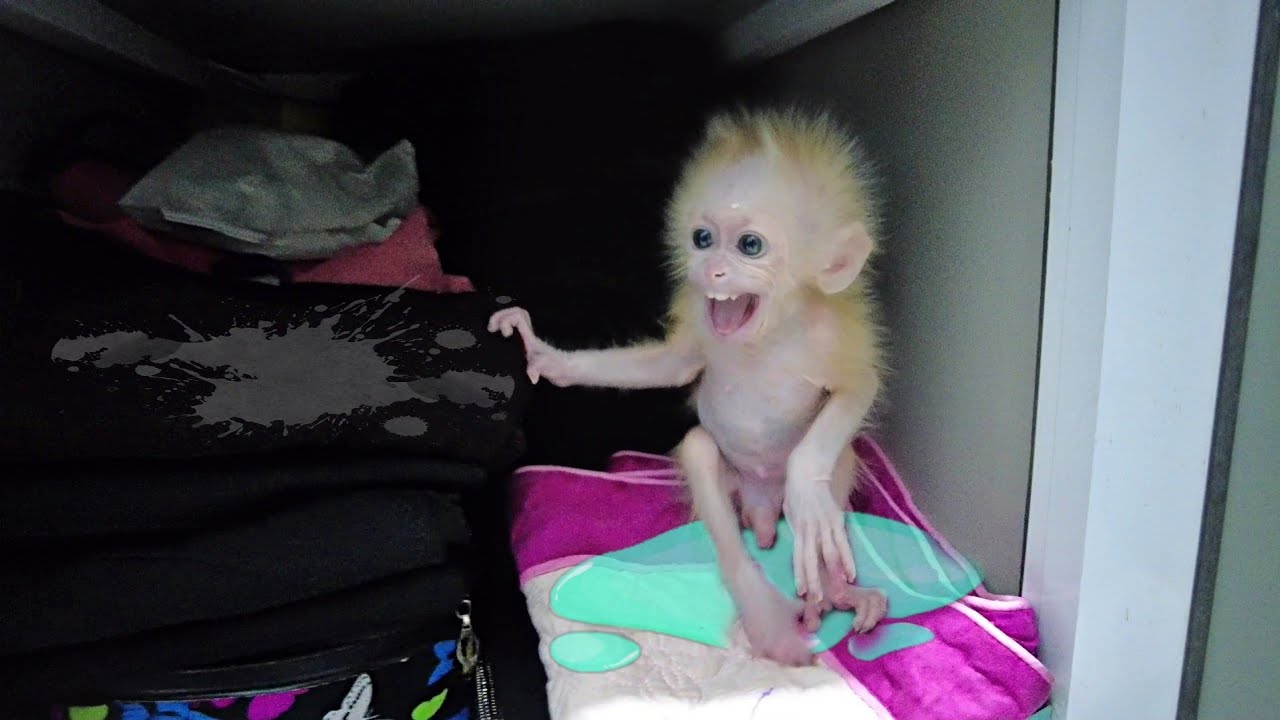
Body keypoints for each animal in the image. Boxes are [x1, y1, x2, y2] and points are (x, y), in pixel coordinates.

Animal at [488, 106, 888, 666]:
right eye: (703, 238)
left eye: (749, 246)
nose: (711, 268)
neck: (763, 337)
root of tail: (763, 512)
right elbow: (672, 366)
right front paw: (545, 357)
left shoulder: (829, 337)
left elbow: (858, 387)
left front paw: (807, 486)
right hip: (734, 486)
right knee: (700, 453)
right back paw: (766, 617)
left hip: (813, 474)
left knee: (842, 454)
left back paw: (834, 591)